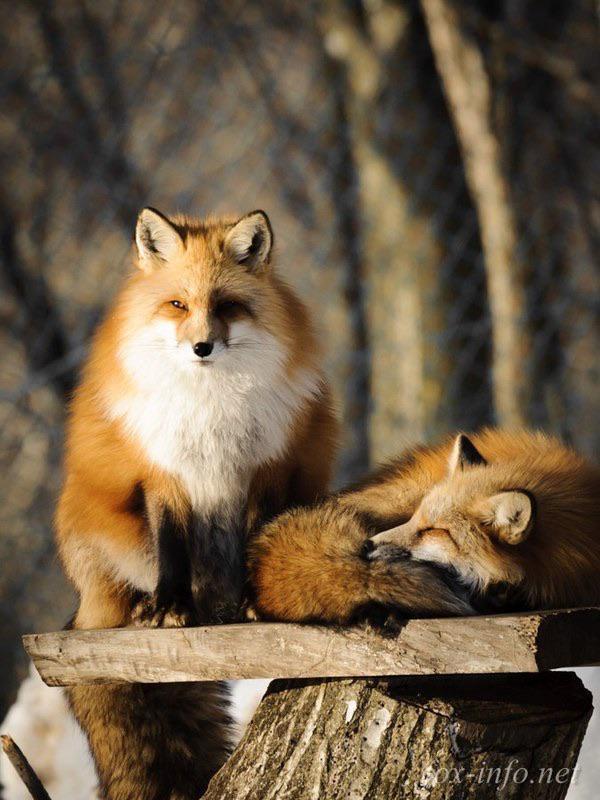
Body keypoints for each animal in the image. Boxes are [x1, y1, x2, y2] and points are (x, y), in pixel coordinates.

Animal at [56, 207, 338, 799]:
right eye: (178, 305)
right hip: (93, 532)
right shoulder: (164, 473)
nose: (202, 347)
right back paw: (151, 608)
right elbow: (172, 546)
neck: (212, 406)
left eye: (227, 306)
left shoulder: (265, 470)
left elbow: (257, 536)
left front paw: (254, 603)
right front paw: (170, 606)